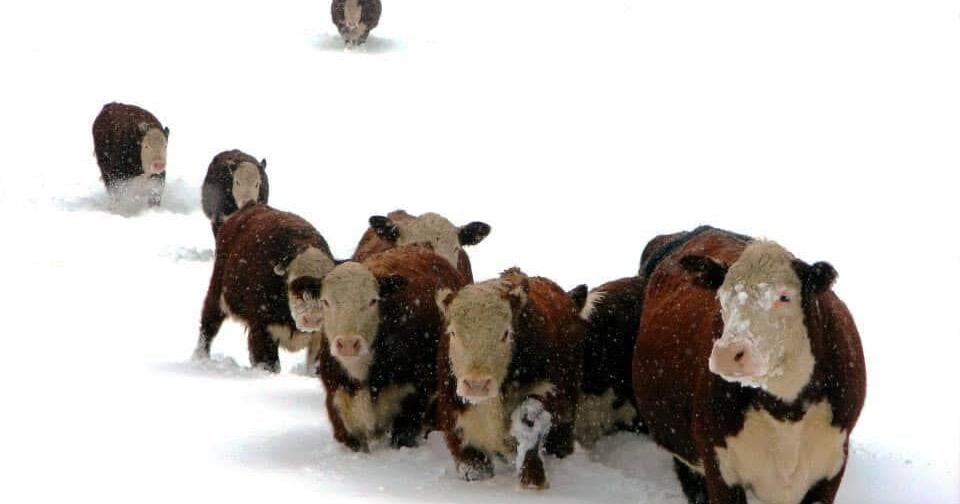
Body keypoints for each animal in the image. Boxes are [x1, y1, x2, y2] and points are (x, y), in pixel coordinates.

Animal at [194, 204, 336, 372]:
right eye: (294, 284)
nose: (313, 319)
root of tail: (250, 207)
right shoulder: (263, 330)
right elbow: (269, 364)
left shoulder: (319, 339)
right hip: (217, 294)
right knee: (208, 325)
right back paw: (200, 357)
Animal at [435, 268, 586, 489]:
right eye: (453, 332)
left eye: (506, 333)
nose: (476, 385)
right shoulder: (456, 412)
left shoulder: (547, 388)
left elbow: (528, 421)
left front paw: (533, 477)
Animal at [633, 226, 866, 504]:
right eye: (721, 297)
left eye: (784, 297)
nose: (726, 353)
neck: (786, 411)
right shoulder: (718, 467)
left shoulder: (831, 467)